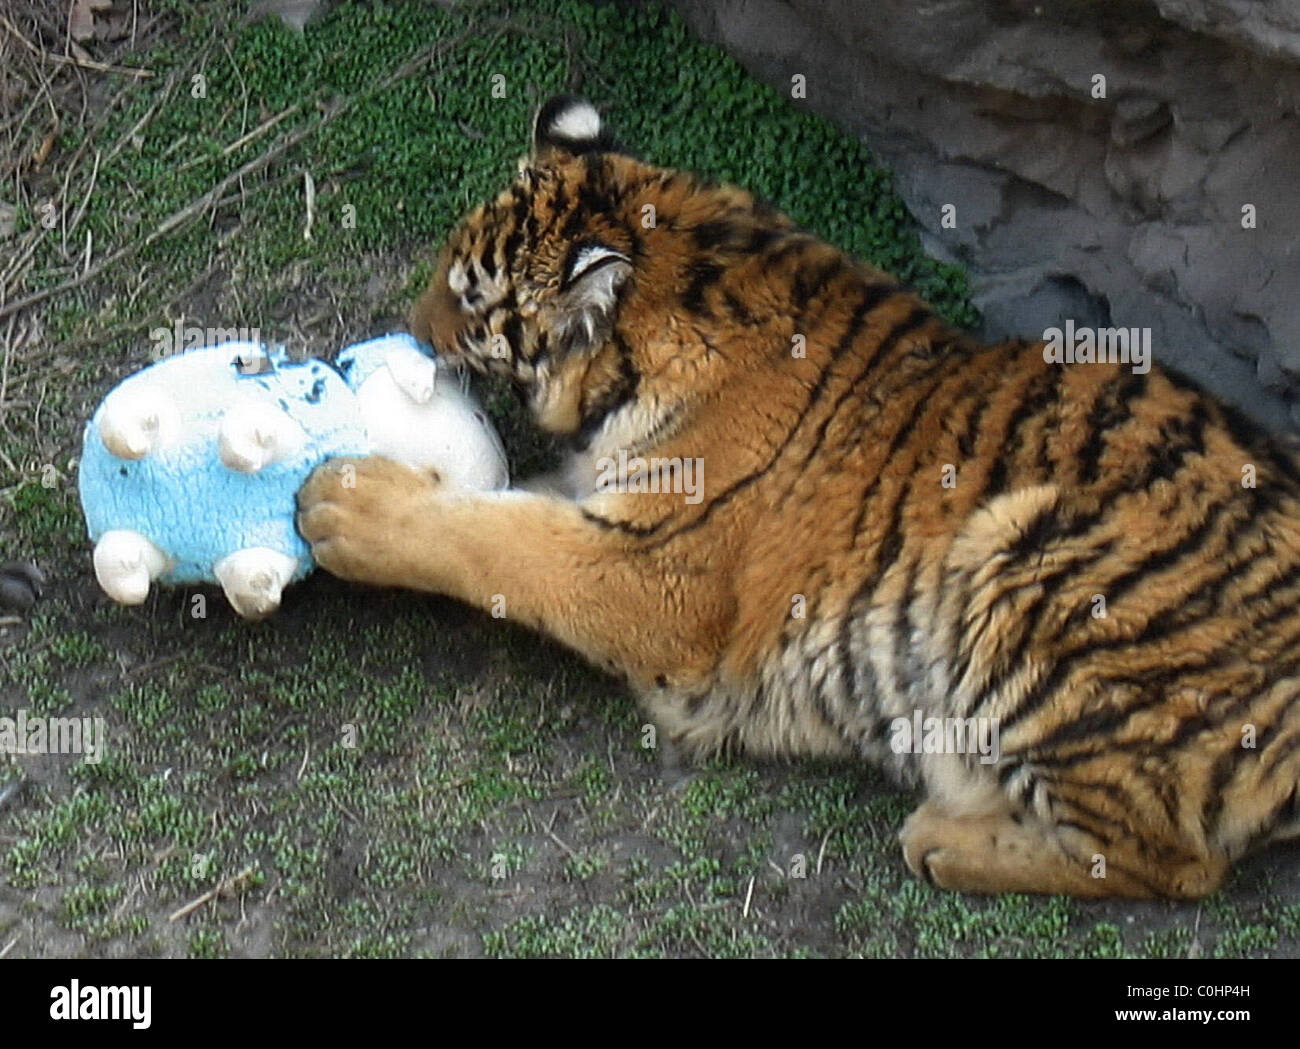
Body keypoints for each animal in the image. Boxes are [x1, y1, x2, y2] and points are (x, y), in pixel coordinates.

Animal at [296, 95, 1300, 898]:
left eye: (469, 300)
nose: (408, 332)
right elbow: (503, 504)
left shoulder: (655, 569)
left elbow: (498, 542)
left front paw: (342, 503)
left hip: (1030, 555)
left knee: (1174, 861)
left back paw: (944, 835)